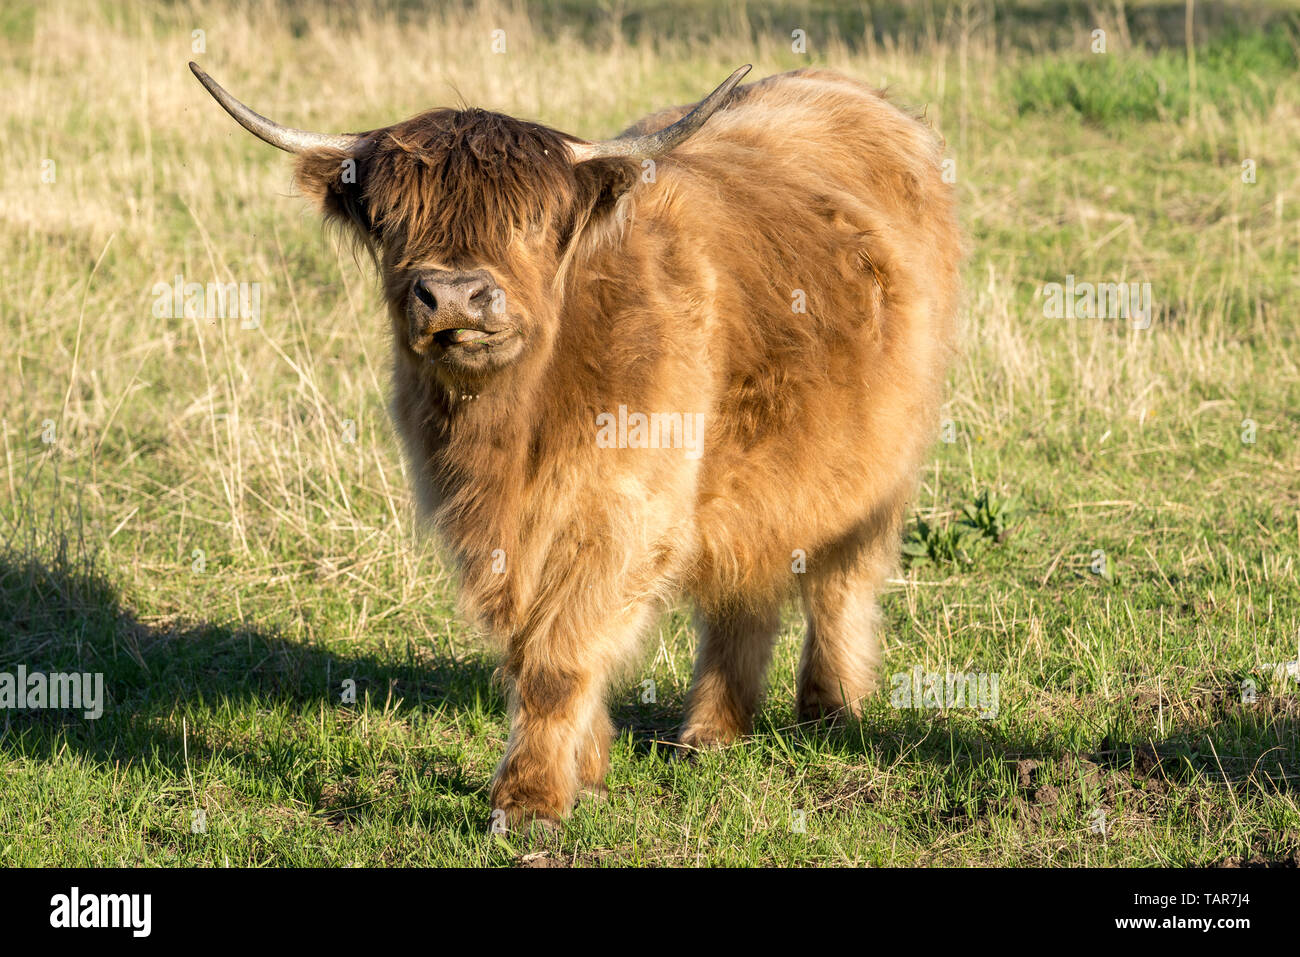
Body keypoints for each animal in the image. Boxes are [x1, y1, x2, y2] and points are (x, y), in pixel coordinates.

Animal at [191, 61, 962, 828]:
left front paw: (529, 797)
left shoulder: (622, 511)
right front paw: (586, 767)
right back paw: (711, 733)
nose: (455, 296)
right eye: (390, 218)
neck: (516, 428)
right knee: (744, 585)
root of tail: (841, 87)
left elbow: (558, 654)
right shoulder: (493, 531)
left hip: (880, 463)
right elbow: (529, 642)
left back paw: (830, 709)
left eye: (531, 220)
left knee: (840, 578)